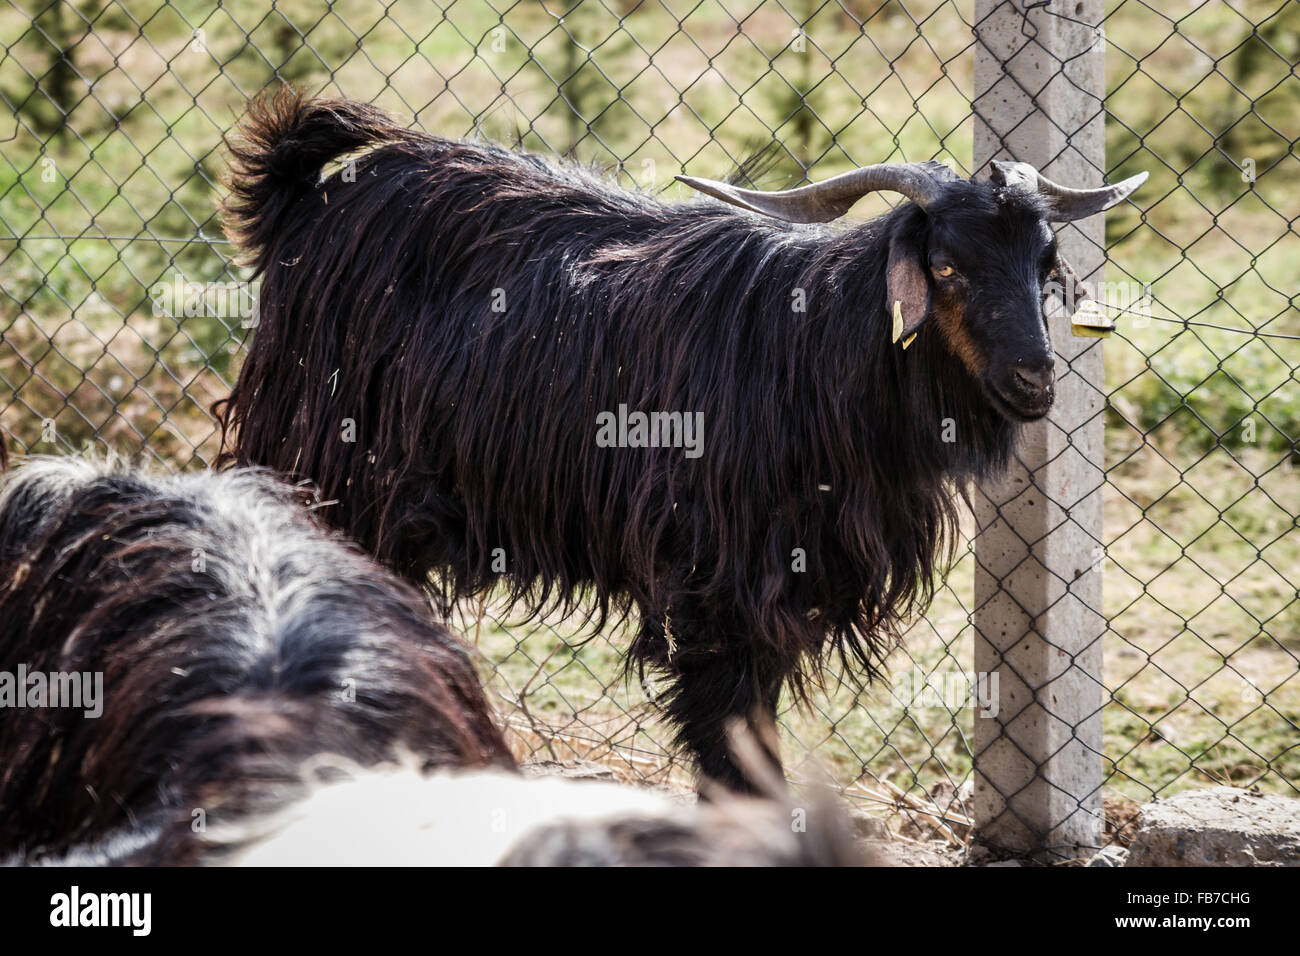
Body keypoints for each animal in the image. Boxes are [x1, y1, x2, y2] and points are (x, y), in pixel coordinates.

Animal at [217, 89, 1145, 791]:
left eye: (1047, 263)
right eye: (946, 267)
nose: (1034, 380)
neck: (819, 355)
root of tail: (308, 199)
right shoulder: (720, 585)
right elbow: (729, 738)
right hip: (328, 464)